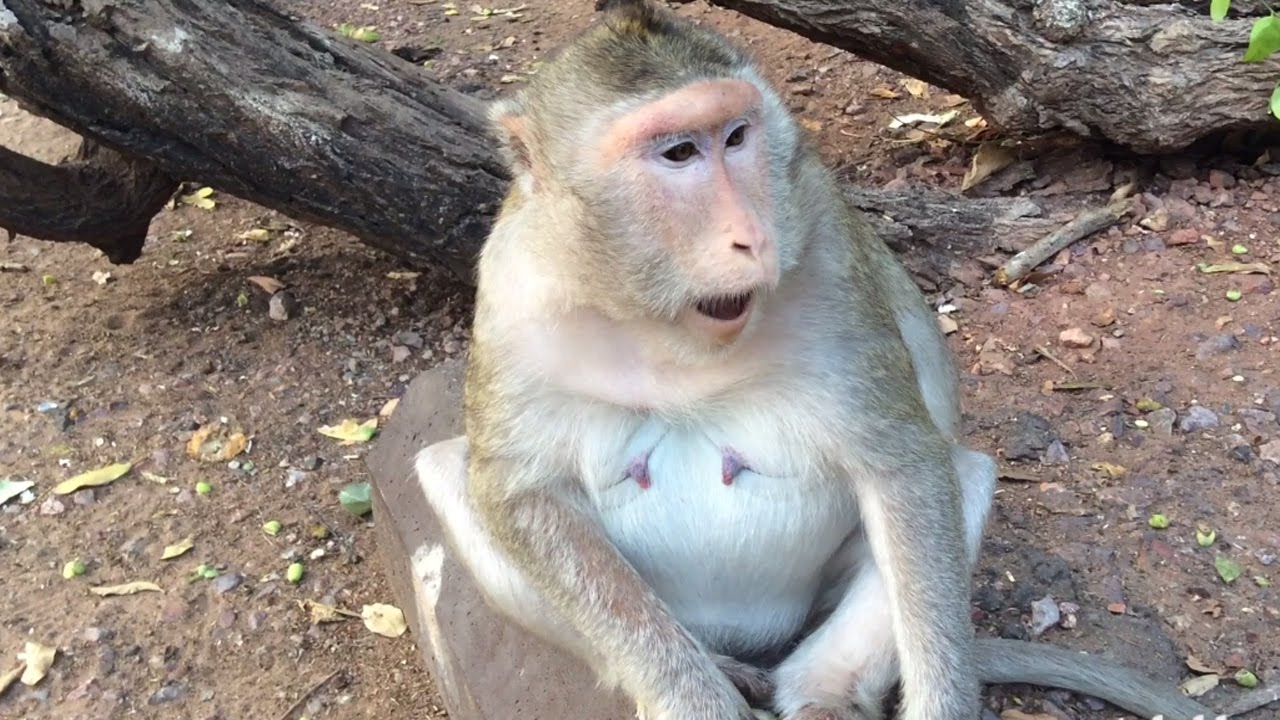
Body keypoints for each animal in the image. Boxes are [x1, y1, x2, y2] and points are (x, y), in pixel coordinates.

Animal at [412, 2, 1221, 719]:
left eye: (737, 136)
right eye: (679, 152)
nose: (752, 235)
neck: (668, 328)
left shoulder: (830, 262)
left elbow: (905, 466)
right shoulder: (513, 295)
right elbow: (516, 494)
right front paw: (694, 702)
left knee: (957, 477)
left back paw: (822, 690)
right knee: (450, 473)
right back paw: (724, 670)